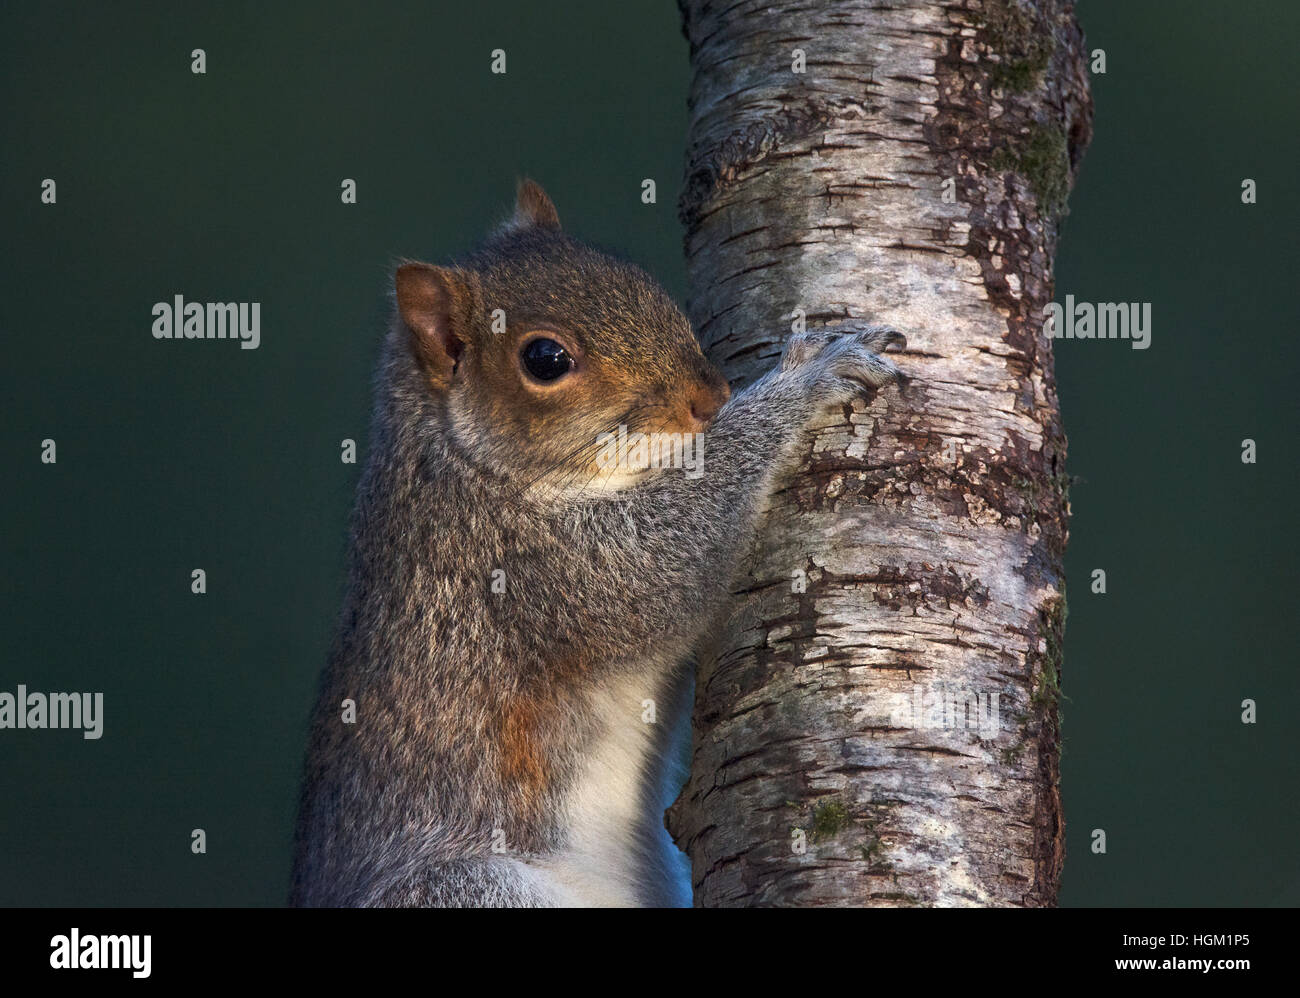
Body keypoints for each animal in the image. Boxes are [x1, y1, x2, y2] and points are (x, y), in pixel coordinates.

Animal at [289, 179, 906, 907]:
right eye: (545, 359)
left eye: (639, 279)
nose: (711, 395)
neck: (457, 458)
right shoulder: (513, 562)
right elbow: (664, 564)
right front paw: (803, 383)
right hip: (467, 890)